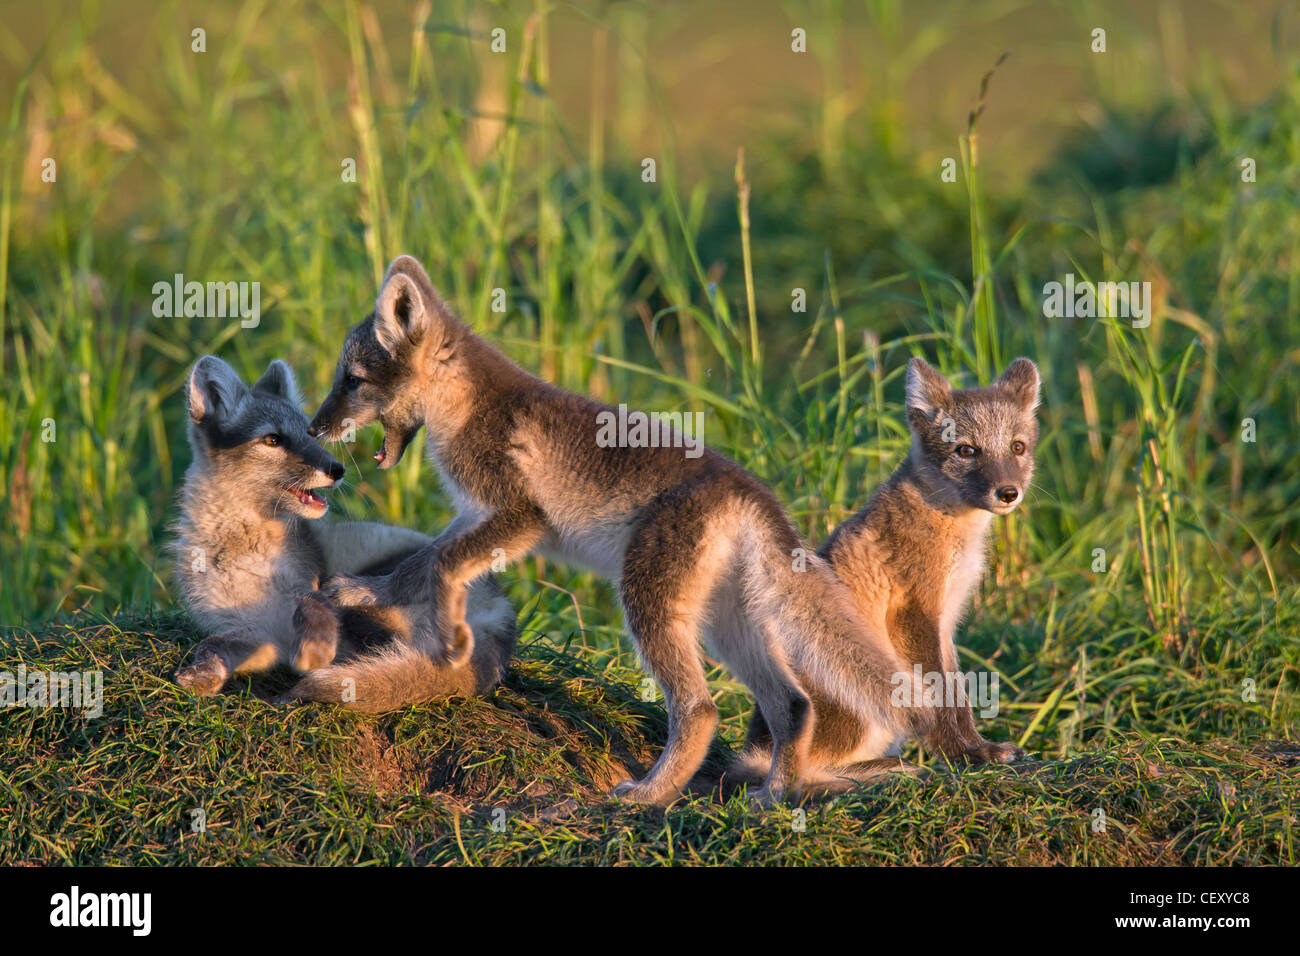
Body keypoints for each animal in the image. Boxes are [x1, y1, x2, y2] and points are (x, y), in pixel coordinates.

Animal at [171, 354, 516, 712]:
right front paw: (202, 674)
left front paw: (314, 649)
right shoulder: (255, 633)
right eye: (273, 439)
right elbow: (211, 644)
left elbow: (310, 601)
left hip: (370, 595)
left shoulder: (309, 585)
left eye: (310, 436)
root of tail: (503, 610)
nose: (337, 469)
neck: (243, 552)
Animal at [306, 254, 932, 806]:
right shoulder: (474, 515)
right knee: (794, 706)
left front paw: (452, 637)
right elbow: (420, 563)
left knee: (701, 709)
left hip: (648, 602)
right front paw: (368, 594)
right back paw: (774, 797)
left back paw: (651, 796)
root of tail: (748, 490)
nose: (313, 428)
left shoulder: (518, 516)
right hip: (727, 624)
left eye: (352, 380)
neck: (463, 403)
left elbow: (440, 565)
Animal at [733, 356, 1039, 792]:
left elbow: (958, 696)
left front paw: (978, 747)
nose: (1008, 492)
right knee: (804, 772)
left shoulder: (945, 622)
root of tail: (758, 746)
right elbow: (940, 699)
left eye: (1017, 447)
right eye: (966, 450)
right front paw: (963, 756)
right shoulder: (913, 615)